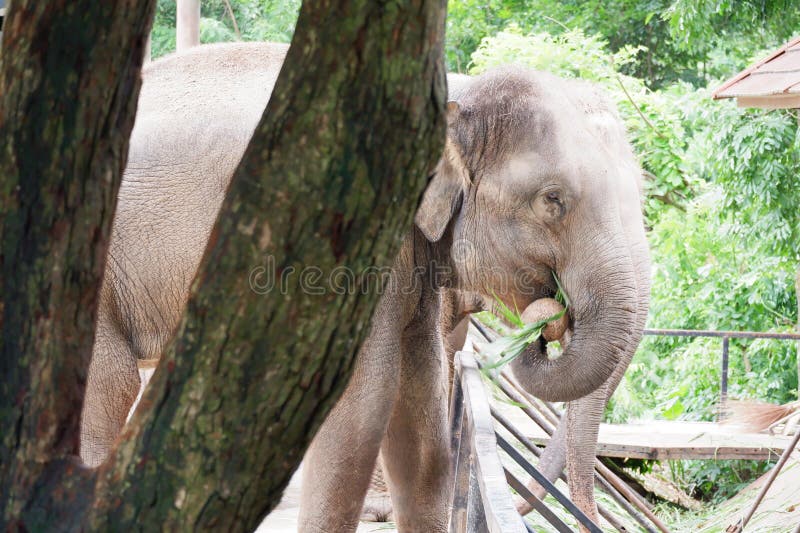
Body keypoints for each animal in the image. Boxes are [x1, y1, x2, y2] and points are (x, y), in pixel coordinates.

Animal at [79, 42, 649, 531]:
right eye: (553, 200)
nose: (548, 322)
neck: (456, 93)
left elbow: (420, 411)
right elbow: (360, 407)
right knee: (108, 387)